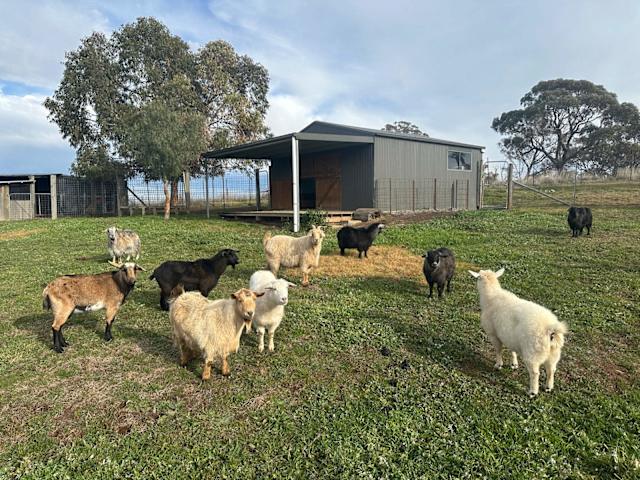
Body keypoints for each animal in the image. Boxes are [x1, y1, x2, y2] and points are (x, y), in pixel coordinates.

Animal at [469, 268, 568, 397]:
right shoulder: (510, 336)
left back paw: (533, 392)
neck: (491, 296)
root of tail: (551, 328)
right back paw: (548, 387)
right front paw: (514, 364)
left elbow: (498, 350)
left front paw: (498, 364)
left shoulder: (493, 334)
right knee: (551, 370)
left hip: (533, 353)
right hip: (554, 352)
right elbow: (512, 350)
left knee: (535, 373)